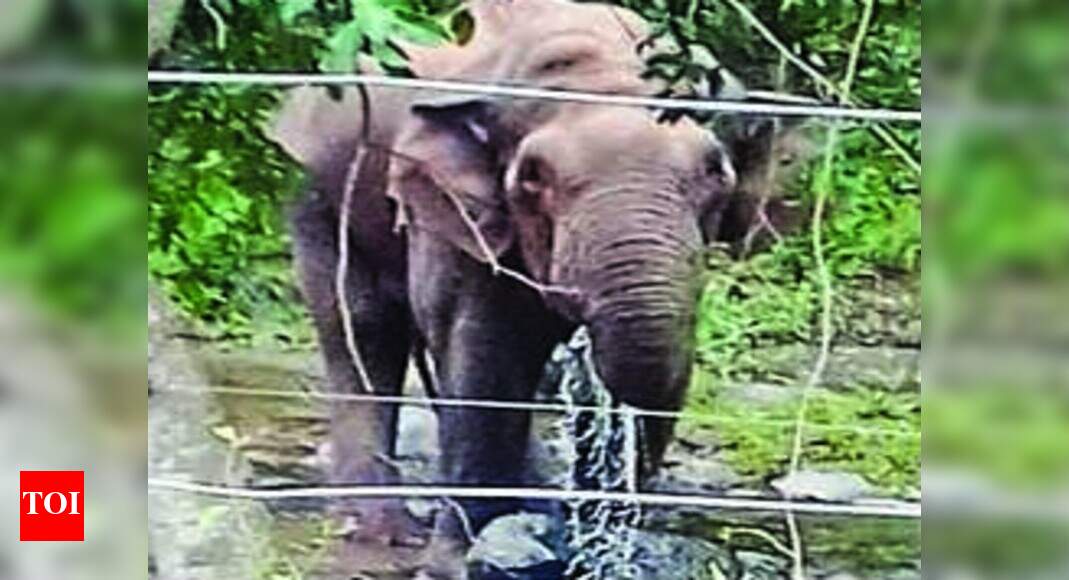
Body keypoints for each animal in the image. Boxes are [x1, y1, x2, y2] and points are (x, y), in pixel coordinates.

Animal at [266, 0, 796, 570]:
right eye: (533, 177)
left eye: (716, 172)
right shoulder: (452, 211)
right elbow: (483, 357)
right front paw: (457, 562)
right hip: (315, 194)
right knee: (362, 329)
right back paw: (381, 534)